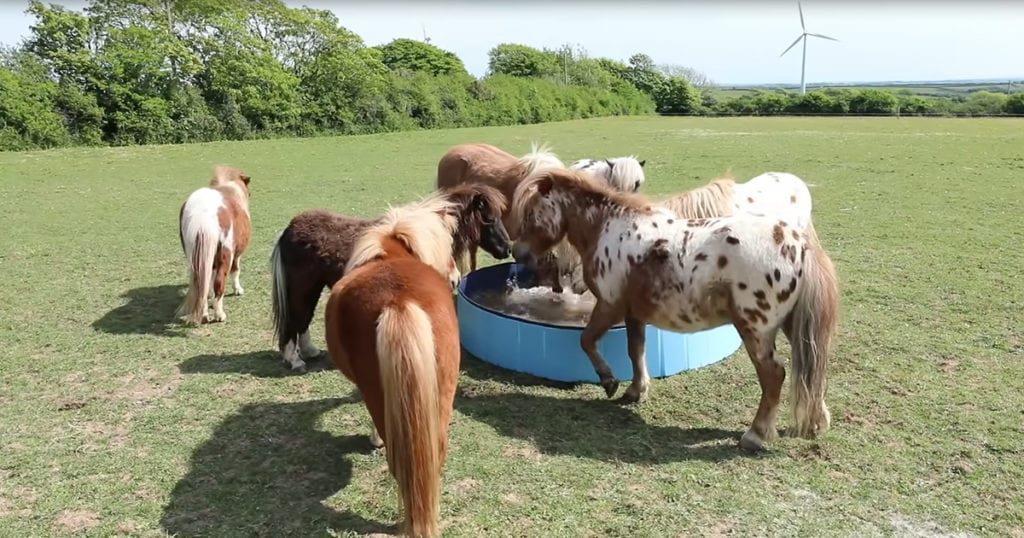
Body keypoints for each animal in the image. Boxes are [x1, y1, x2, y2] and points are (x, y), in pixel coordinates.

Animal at [176, 165, 252, 325]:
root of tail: (203, 215)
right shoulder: (236, 255)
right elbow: (236, 271)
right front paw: (237, 290)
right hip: (225, 256)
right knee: (219, 284)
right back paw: (219, 315)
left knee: (202, 285)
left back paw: (204, 314)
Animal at [270, 183, 510, 372]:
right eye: (490, 219)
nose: (507, 248)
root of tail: (290, 229)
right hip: (302, 287)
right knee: (295, 318)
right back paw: (295, 361)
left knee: (303, 319)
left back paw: (310, 352)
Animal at [508, 168, 840, 452]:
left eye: (531, 213)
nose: (517, 252)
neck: (608, 227)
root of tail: (798, 243)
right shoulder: (633, 312)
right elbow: (636, 350)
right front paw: (635, 391)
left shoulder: (609, 306)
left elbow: (587, 340)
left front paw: (609, 381)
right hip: (791, 325)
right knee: (812, 366)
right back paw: (816, 422)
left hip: (756, 331)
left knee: (775, 375)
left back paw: (755, 435)